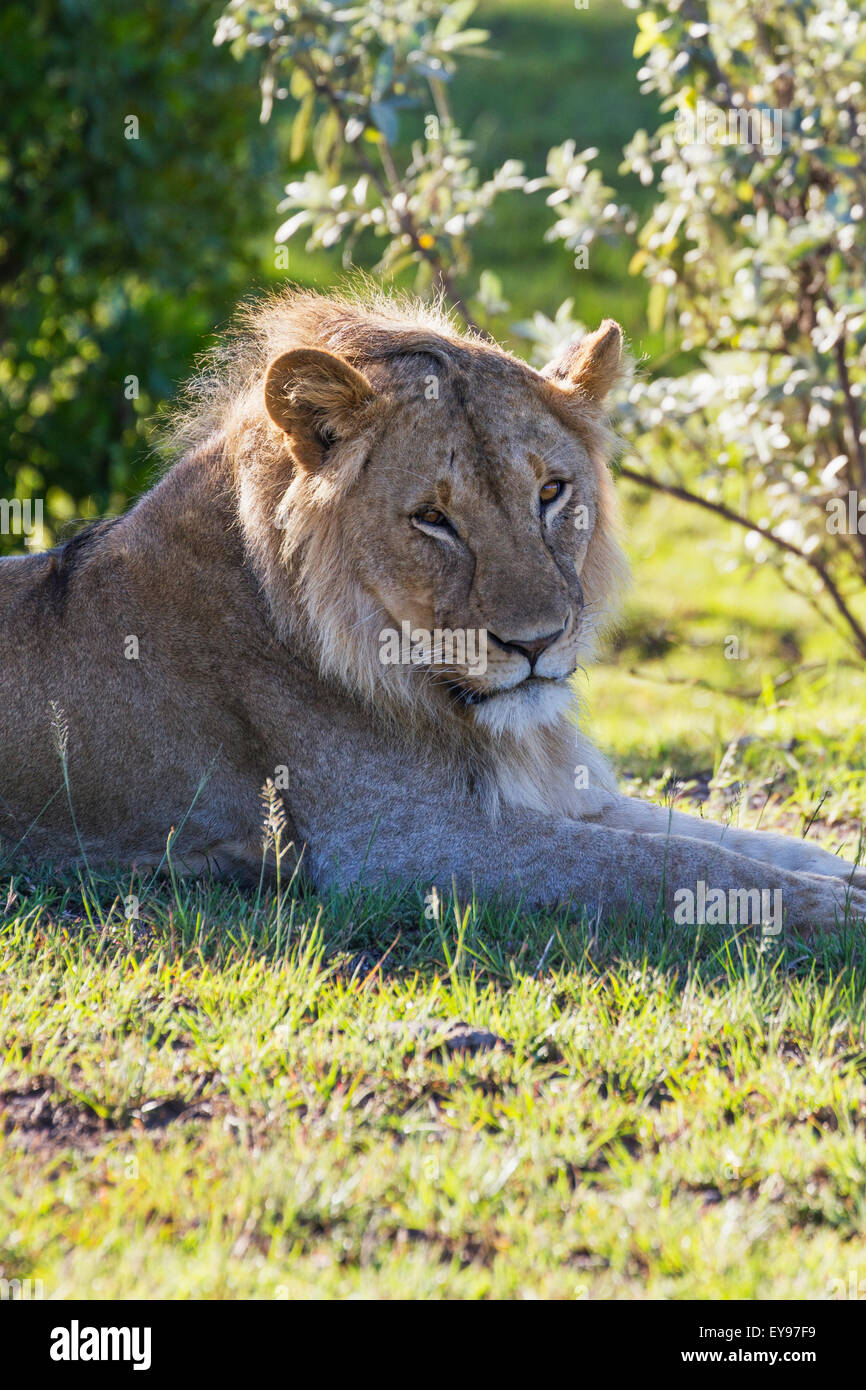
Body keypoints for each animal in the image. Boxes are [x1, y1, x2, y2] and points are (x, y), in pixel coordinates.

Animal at [1, 285, 864, 931]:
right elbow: (665, 864)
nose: (538, 643)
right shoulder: (405, 844)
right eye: (432, 519)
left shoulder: (556, 793)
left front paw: (842, 876)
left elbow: (727, 838)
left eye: (552, 492)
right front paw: (832, 912)